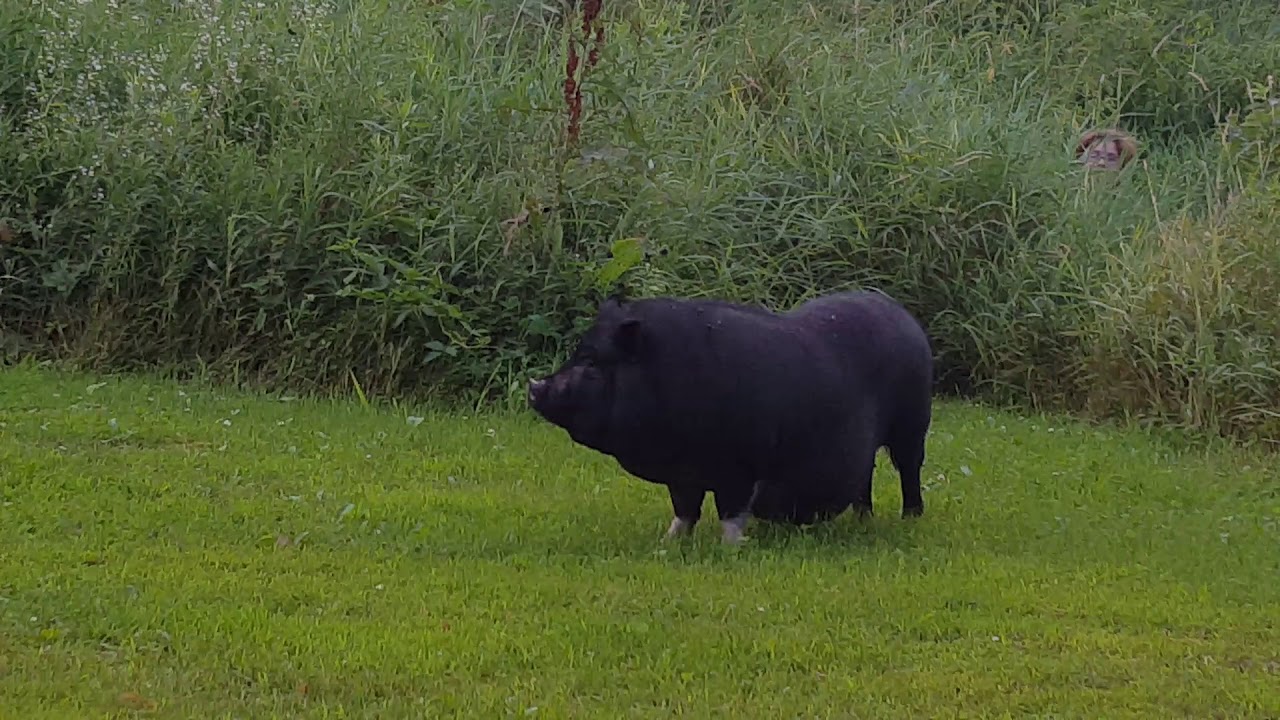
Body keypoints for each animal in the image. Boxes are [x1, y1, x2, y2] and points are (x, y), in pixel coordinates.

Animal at [526, 289, 934, 544]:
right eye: (577, 353)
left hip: (913, 425)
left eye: (592, 364)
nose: (534, 386)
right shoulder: (682, 475)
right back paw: (864, 519)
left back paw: (911, 518)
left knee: (908, 469)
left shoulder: (740, 466)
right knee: (865, 477)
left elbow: (731, 511)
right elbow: (685, 511)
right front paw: (669, 541)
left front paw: (734, 546)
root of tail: (904, 317)